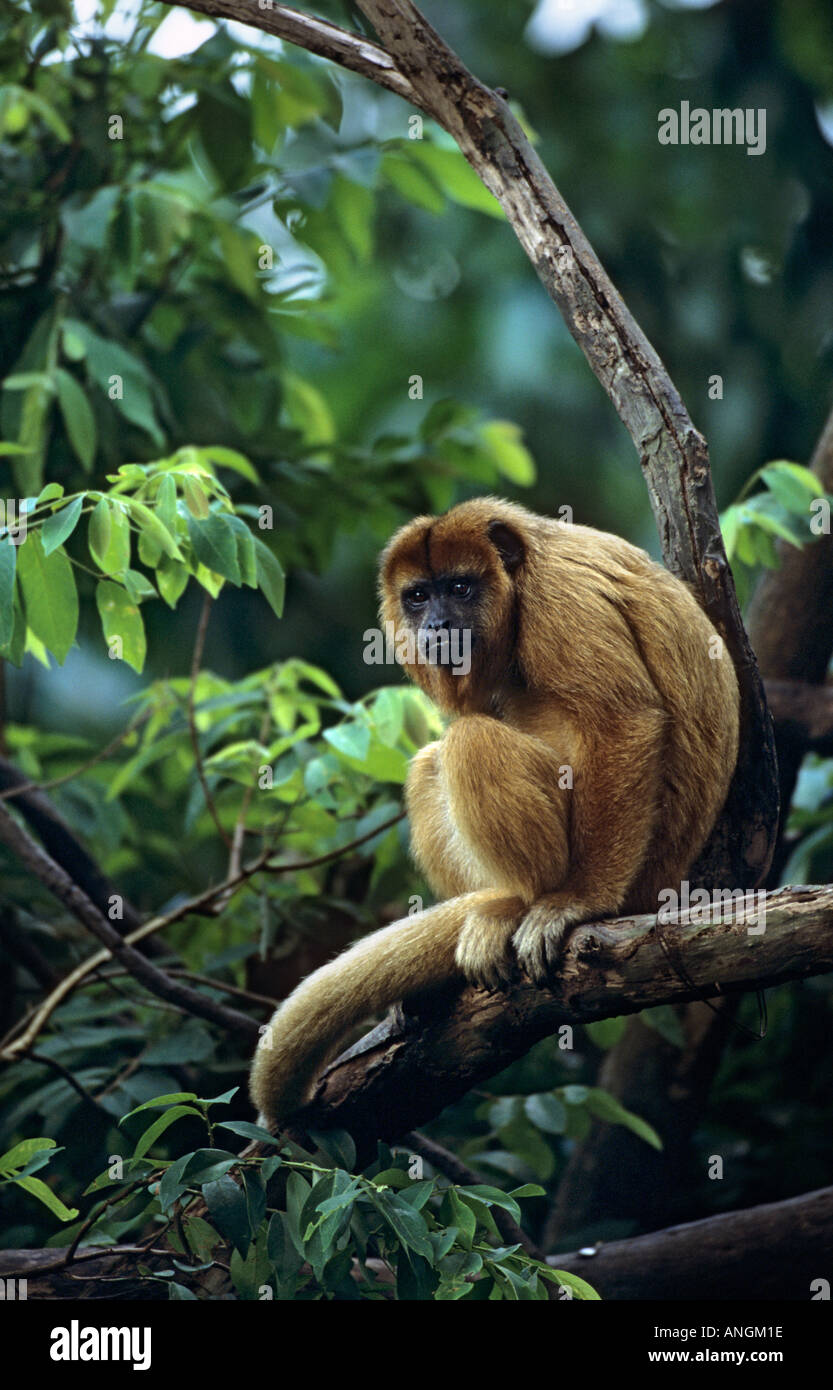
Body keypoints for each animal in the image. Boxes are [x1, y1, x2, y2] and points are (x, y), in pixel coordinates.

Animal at [249, 496, 740, 1127]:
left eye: (459, 587)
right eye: (418, 596)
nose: (435, 626)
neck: (518, 579)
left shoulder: (563, 601)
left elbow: (623, 720)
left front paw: (579, 902)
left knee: (469, 742)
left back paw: (520, 902)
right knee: (430, 761)